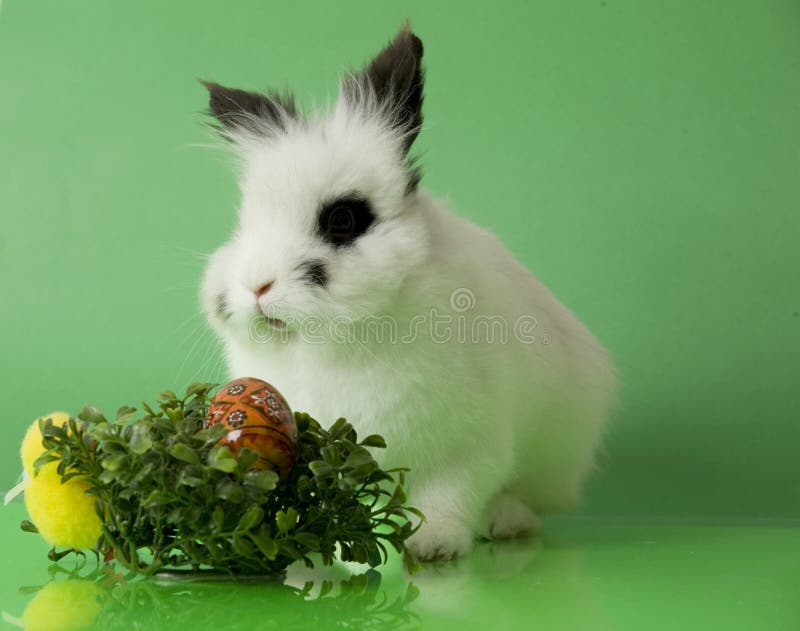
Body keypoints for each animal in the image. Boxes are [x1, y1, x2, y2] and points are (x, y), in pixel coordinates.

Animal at [200, 25, 617, 561]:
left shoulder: (468, 445)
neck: (334, 346)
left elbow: (449, 495)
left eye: (343, 219)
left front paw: (433, 547)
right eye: (245, 223)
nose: (256, 286)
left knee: (519, 496)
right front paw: (340, 549)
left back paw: (506, 523)